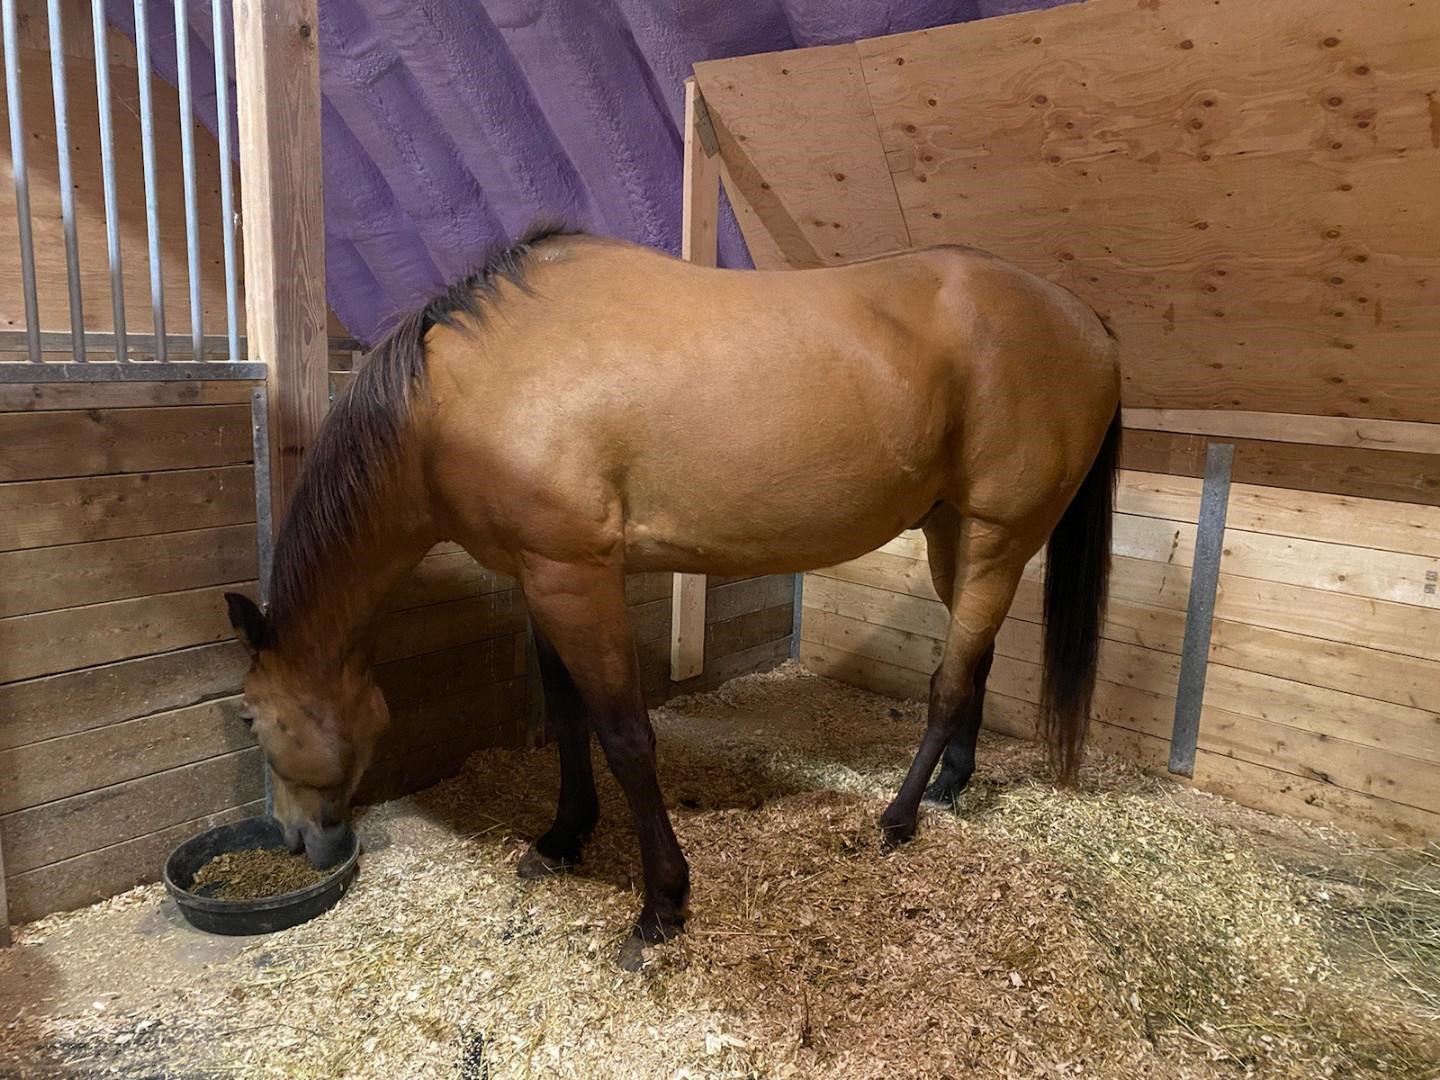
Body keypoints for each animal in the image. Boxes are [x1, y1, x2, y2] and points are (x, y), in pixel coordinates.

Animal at [223, 224, 1121, 969]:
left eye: (254, 720)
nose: (299, 840)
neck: (458, 397)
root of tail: (1089, 323)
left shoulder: (576, 576)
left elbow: (625, 736)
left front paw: (661, 906)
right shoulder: (539, 577)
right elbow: (568, 715)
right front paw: (563, 838)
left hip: (1000, 535)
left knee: (947, 680)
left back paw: (897, 819)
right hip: (953, 535)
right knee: (975, 661)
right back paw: (950, 786)